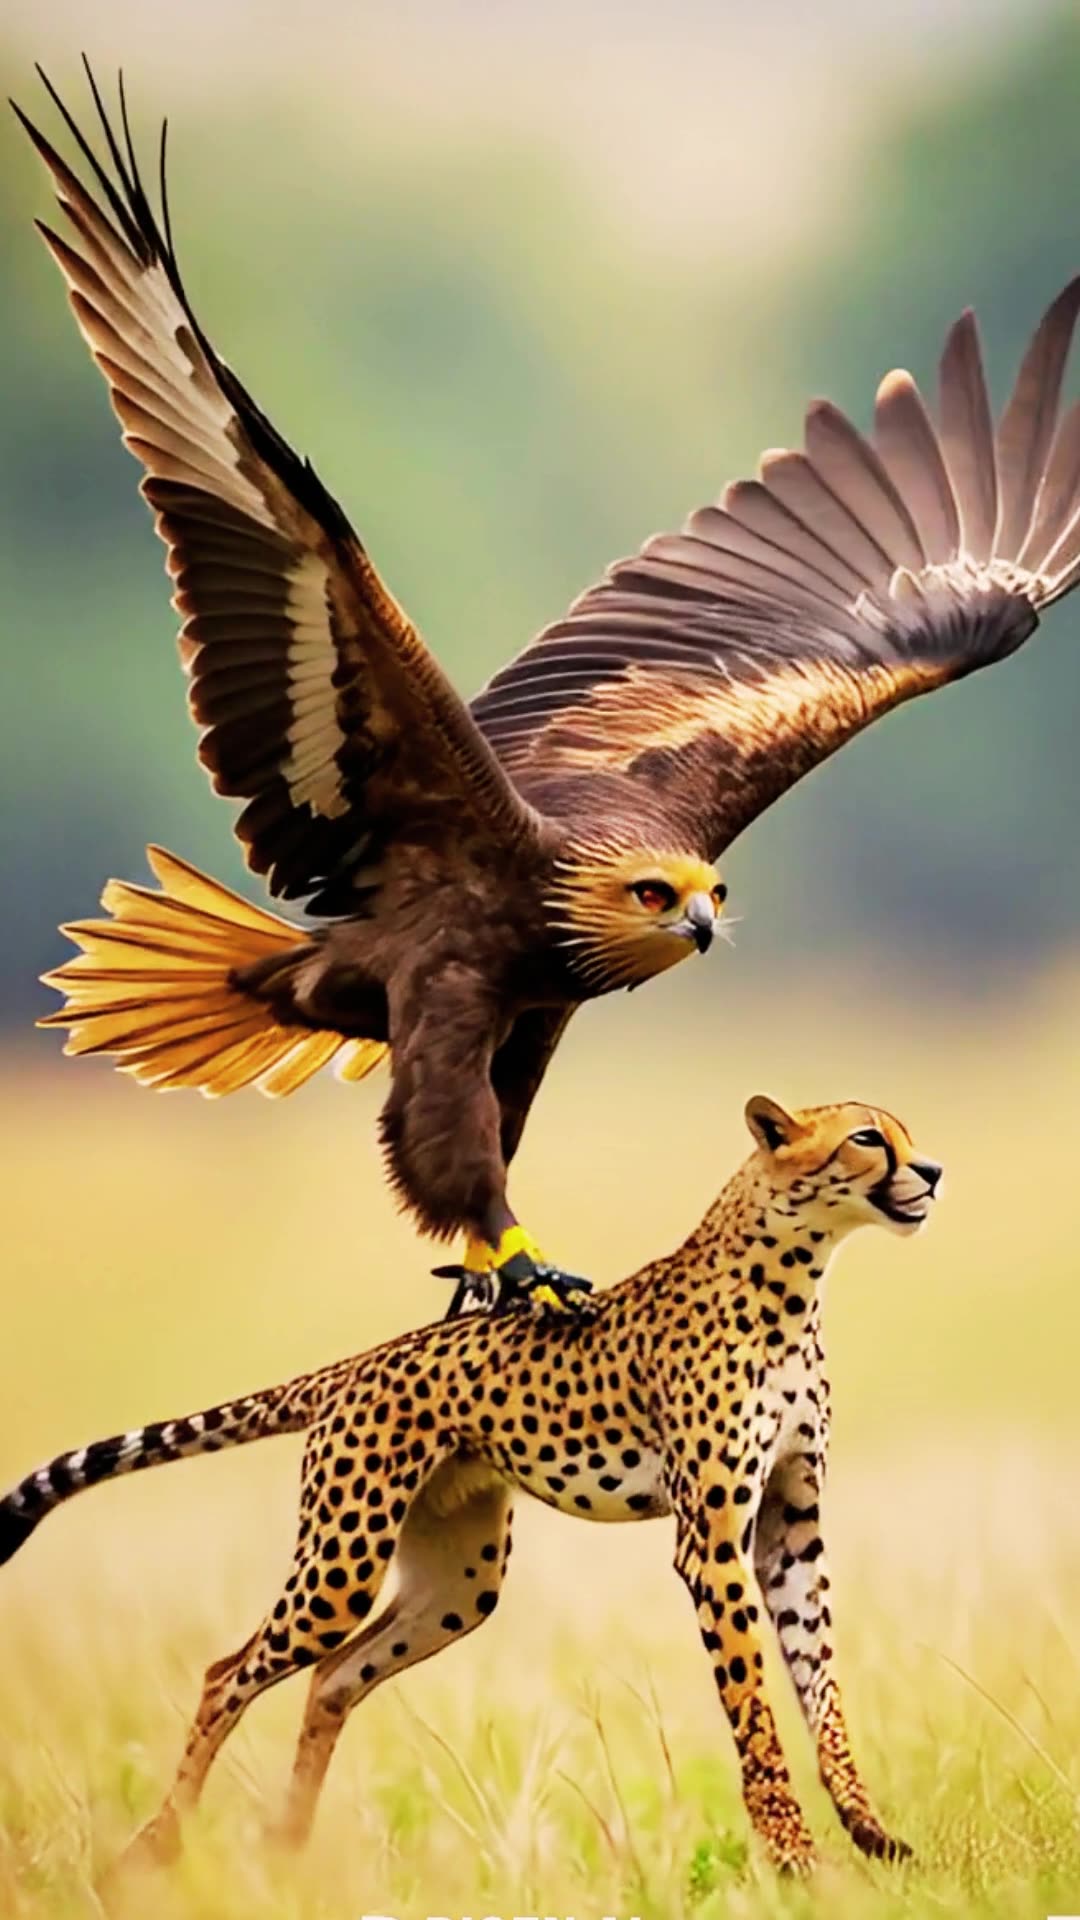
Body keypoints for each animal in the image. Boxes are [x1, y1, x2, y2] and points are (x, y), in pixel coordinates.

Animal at [0, 1092, 941, 1877]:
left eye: (905, 1132)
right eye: (868, 1139)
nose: (932, 1171)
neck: (793, 1279)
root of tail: (357, 1363)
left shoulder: (791, 1525)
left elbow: (820, 1683)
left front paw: (871, 1834)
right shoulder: (710, 1541)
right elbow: (753, 1696)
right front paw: (792, 1853)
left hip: (461, 1582)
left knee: (334, 1675)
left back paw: (291, 1845)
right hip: (341, 1564)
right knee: (226, 1673)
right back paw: (161, 1844)